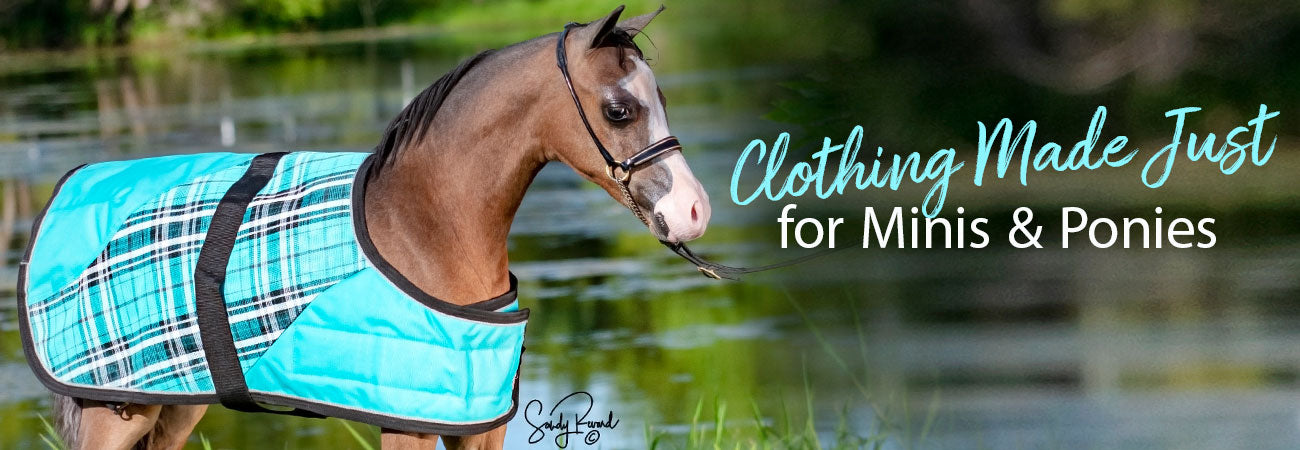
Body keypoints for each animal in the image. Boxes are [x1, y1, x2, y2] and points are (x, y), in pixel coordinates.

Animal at [32, 5, 711, 449]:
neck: (427, 226)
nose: (695, 210)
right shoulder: (408, 425)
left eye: (663, 99)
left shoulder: (480, 426)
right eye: (618, 110)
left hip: (173, 410)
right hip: (114, 416)